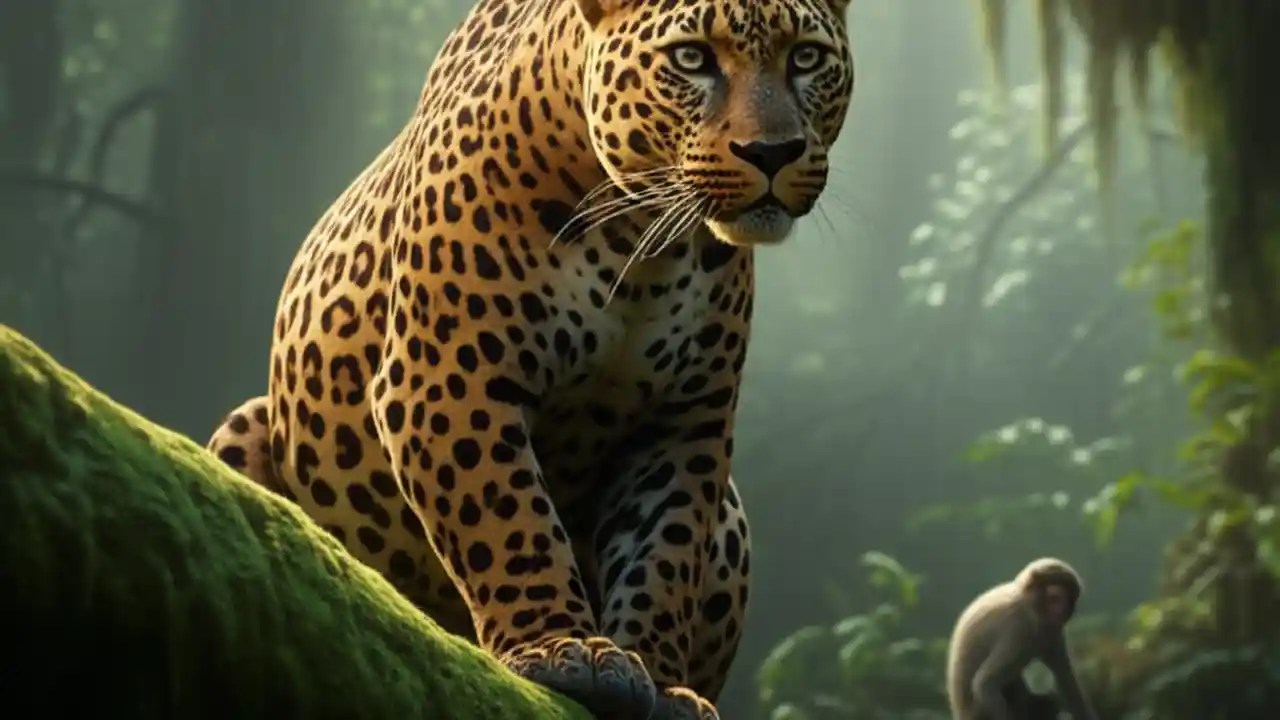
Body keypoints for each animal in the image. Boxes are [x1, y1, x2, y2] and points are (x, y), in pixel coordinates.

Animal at [206, 1, 854, 717]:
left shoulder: (686, 417)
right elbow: (508, 518)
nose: (772, 152)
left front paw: (662, 684)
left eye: (805, 58)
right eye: (692, 58)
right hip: (245, 427)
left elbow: (665, 553)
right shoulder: (449, 375)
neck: (639, 244)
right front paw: (560, 649)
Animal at [945, 557, 1098, 720]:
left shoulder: (1051, 630)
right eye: (1054, 598)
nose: (1060, 610)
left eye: (1066, 599)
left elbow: (1067, 681)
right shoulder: (1019, 628)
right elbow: (985, 684)